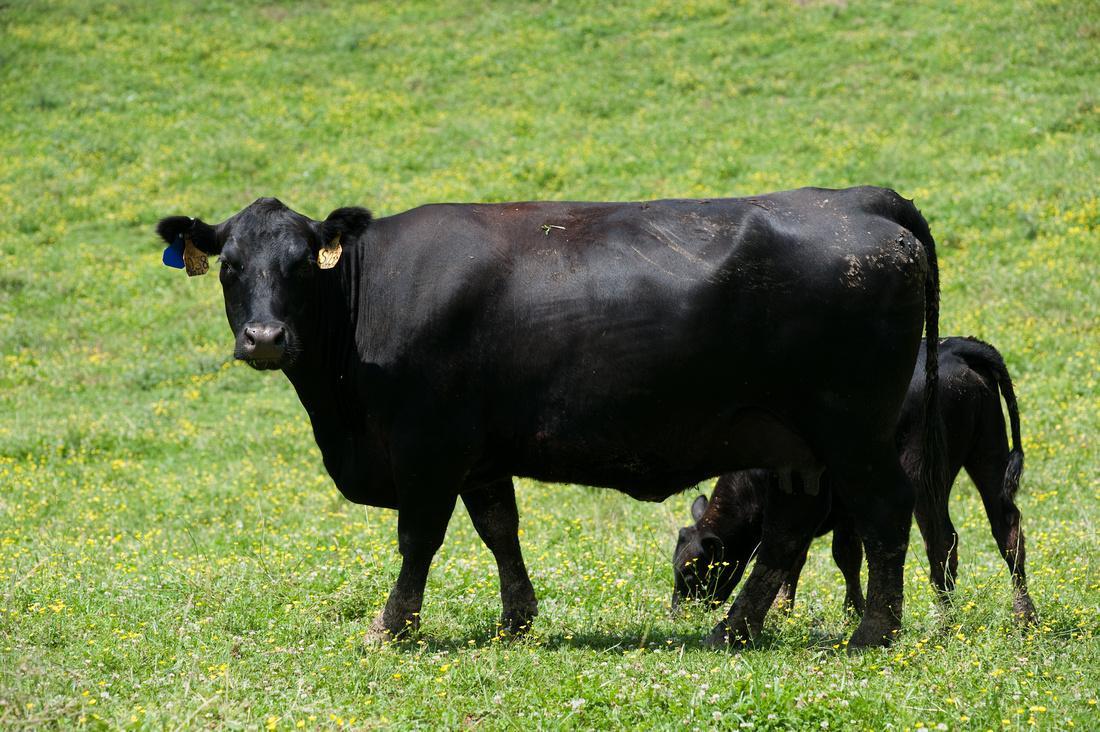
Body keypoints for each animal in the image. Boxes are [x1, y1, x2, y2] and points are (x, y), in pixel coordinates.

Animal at [156, 186, 945, 649]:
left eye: (300, 265)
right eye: (231, 266)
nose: (264, 338)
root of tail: (860, 199)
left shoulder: (428, 446)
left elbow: (419, 539)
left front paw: (392, 626)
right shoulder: (478, 452)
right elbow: (498, 529)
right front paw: (517, 619)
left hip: (853, 427)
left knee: (885, 510)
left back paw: (874, 632)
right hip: (791, 441)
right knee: (786, 530)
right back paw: (735, 630)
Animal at [672, 336, 1037, 624]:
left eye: (690, 570)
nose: (678, 613)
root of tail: (955, 349)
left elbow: (829, 555)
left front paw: (845, 611)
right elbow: (822, 556)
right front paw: (798, 610)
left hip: (924, 472)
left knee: (943, 541)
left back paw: (945, 620)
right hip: (988, 450)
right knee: (1008, 529)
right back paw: (1024, 616)